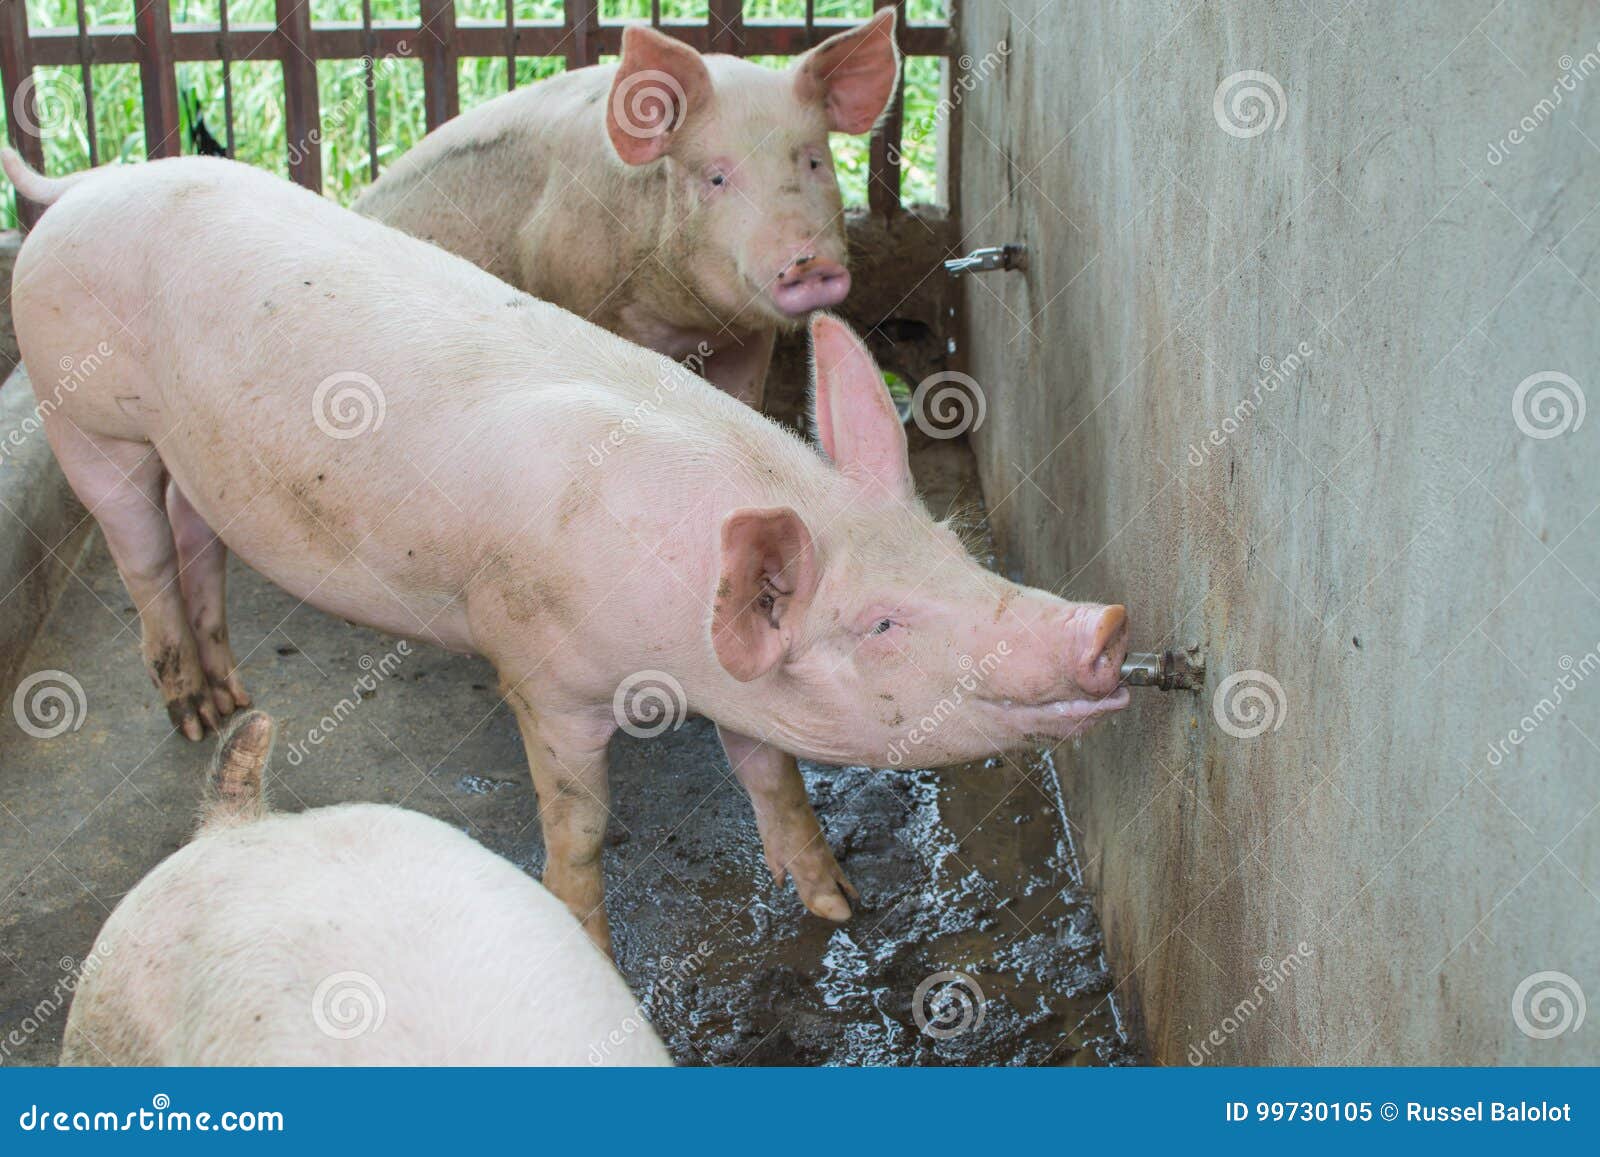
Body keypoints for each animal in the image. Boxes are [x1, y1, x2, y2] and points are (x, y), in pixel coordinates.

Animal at [5, 152, 1129, 956]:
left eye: (952, 551)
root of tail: (78, 187)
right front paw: (590, 942)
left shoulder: (736, 687)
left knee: (195, 533)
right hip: (81, 415)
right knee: (140, 547)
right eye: (882, 622)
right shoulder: (541, 670)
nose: (1106, 624)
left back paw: (233, 693)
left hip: (193, 455)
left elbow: (769, 772)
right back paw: (194, 711)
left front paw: (839, 904)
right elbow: (578, 827)